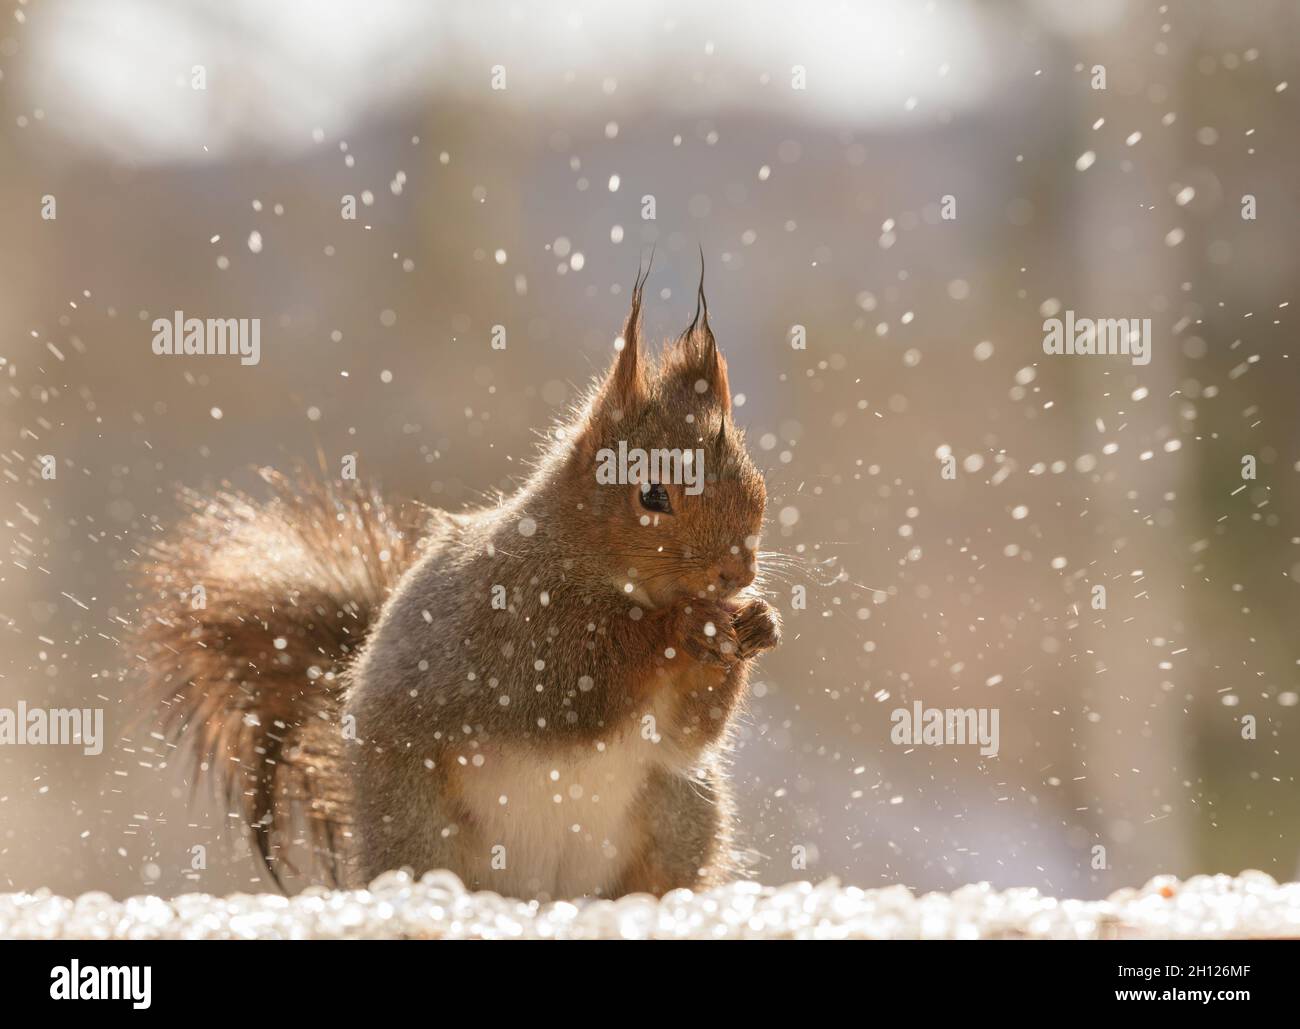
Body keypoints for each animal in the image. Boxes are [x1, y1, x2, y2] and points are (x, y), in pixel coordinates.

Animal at [137, 264, 781, 901]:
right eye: (652, 494)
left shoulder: (671, 735)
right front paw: (685, 625)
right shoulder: (511, 622)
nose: (737, 574)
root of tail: (538, 893)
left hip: (682, 811)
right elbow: (580, 677)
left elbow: (687, 735)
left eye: (756, 482)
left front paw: (756, 624)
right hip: (418, 820)